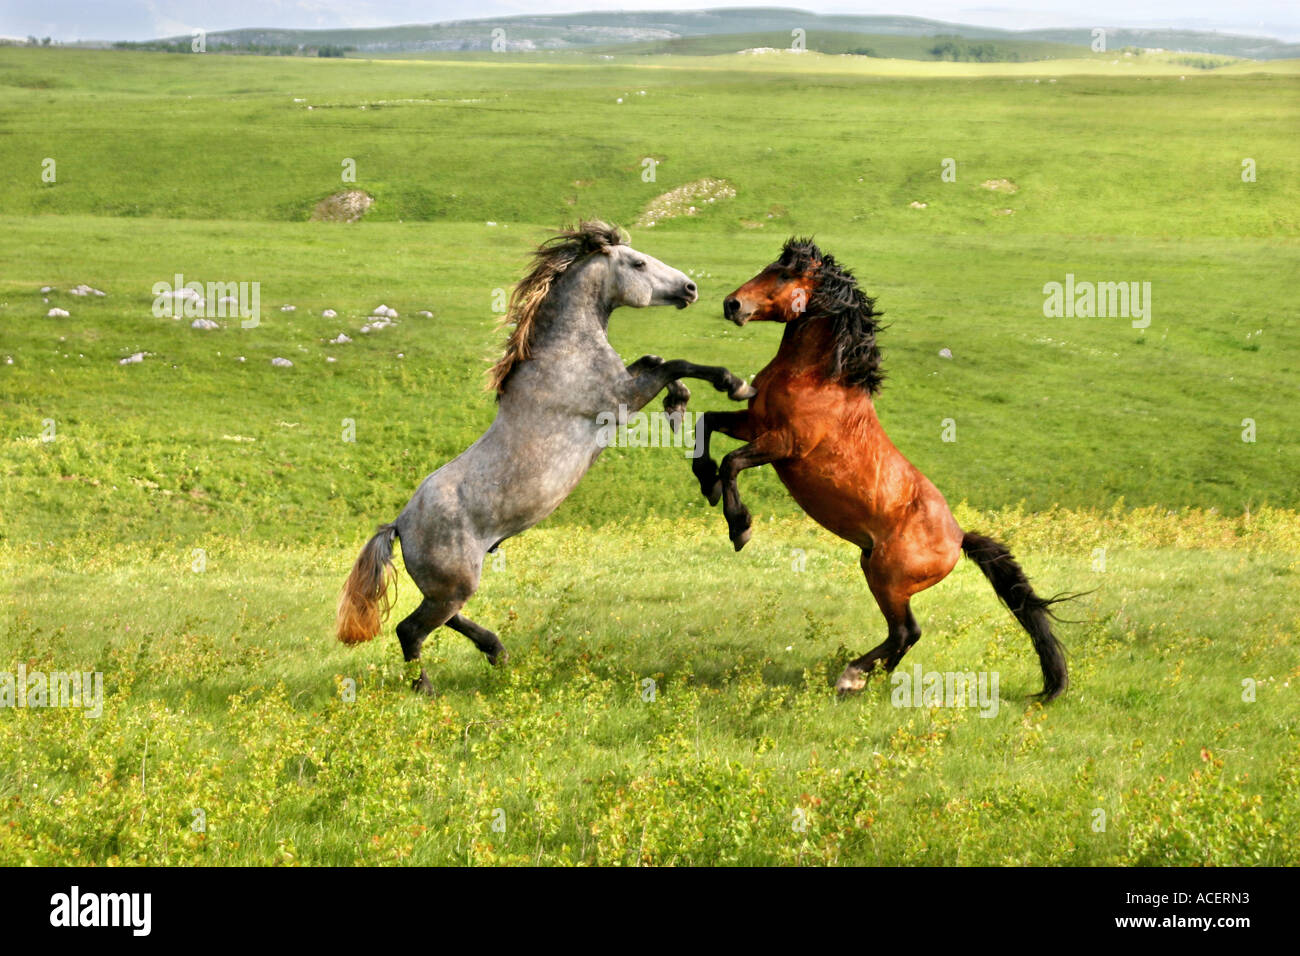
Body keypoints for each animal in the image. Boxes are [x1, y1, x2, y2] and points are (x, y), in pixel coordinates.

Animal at [336, 221, 757, 693]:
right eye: (638, 263)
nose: (690, 288)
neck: (563, 352)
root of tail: (400, 524)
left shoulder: (625, 385)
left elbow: (658, 361)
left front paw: (680, 408)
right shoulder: (620, 400)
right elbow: (674, 363)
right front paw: (733, 384)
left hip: (449, 587)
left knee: (445, 620)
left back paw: (497, 653)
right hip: (453, 583)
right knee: (411, 630)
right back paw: (426, 688)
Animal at [690, 237, 1071, 700]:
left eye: (784, 273)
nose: (732, 304)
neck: (819, 379)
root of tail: (959, 537)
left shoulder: (783, 445)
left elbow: (732, 463)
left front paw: (739, 527)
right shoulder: (753, 424)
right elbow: (705, 423)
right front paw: (706, 482)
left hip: (887, 579)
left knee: (907, 631)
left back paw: (851, 677)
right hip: (872, 567)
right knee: (903, 635)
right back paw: (866, 679)